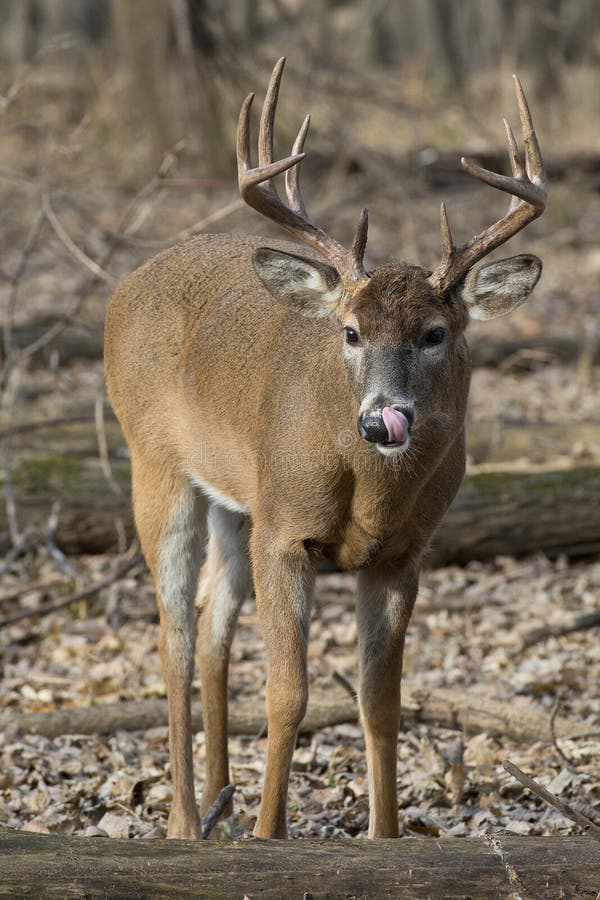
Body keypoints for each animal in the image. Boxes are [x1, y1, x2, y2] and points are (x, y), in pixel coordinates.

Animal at [104, 58, 546, 840]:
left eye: (435, 333)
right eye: (350, 331)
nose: (379, 421)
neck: (369, 493)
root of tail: (125, 289)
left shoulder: (403, 554)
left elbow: (382, 703)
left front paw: (385, 834)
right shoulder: (284, 532)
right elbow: (289, 693)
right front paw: (269, 834)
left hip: (235, 500)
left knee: (213, 623)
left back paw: (220, 799)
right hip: (155, 463)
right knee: (173, 634)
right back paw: (187, 821)